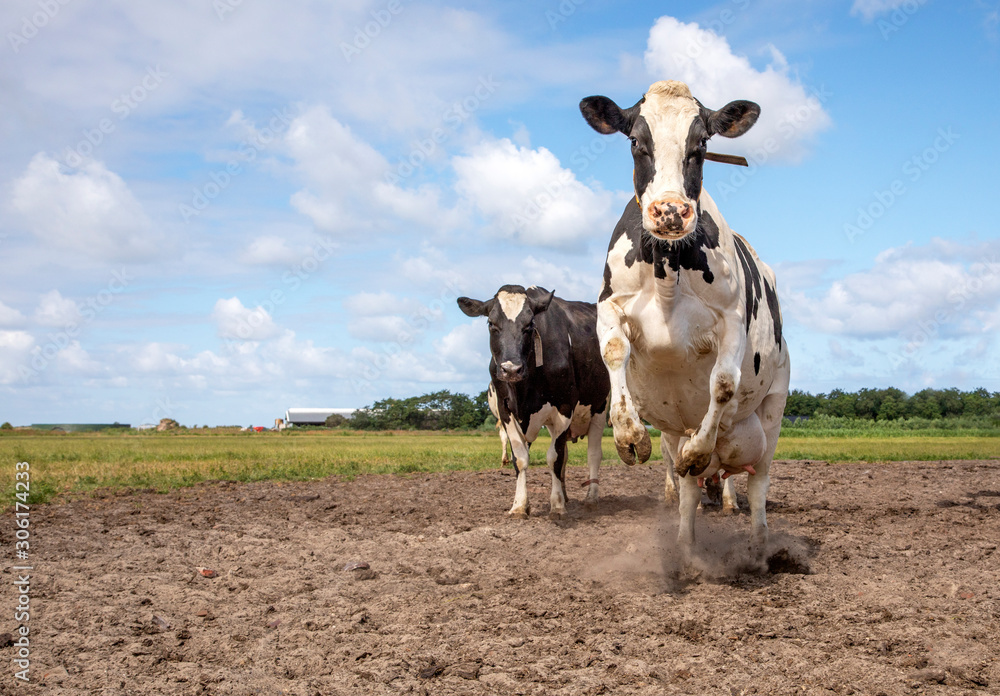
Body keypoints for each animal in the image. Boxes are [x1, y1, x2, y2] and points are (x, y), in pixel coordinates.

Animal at [458, 285, 610, 519]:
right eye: (491, 323)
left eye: (530, 324)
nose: (511, 369)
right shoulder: (506, 411)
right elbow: (521, 458)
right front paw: (520, 505)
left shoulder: (564, 409)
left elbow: (554, 457)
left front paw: (557, 505)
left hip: (600, 407)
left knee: (593, 454)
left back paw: (591, 497)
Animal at [579, 80, 790, 560]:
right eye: (636, 142)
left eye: (702, 144)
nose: (671, 211)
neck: (666, 271)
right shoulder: (609, 305)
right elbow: (614, 352)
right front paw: (629, 436)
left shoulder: (731, 319)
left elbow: (724, 383)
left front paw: (697, 449)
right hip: (676, 427)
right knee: (689, 489)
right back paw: (686, 549)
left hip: (773, 407)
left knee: (757, 483)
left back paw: (759, 546)